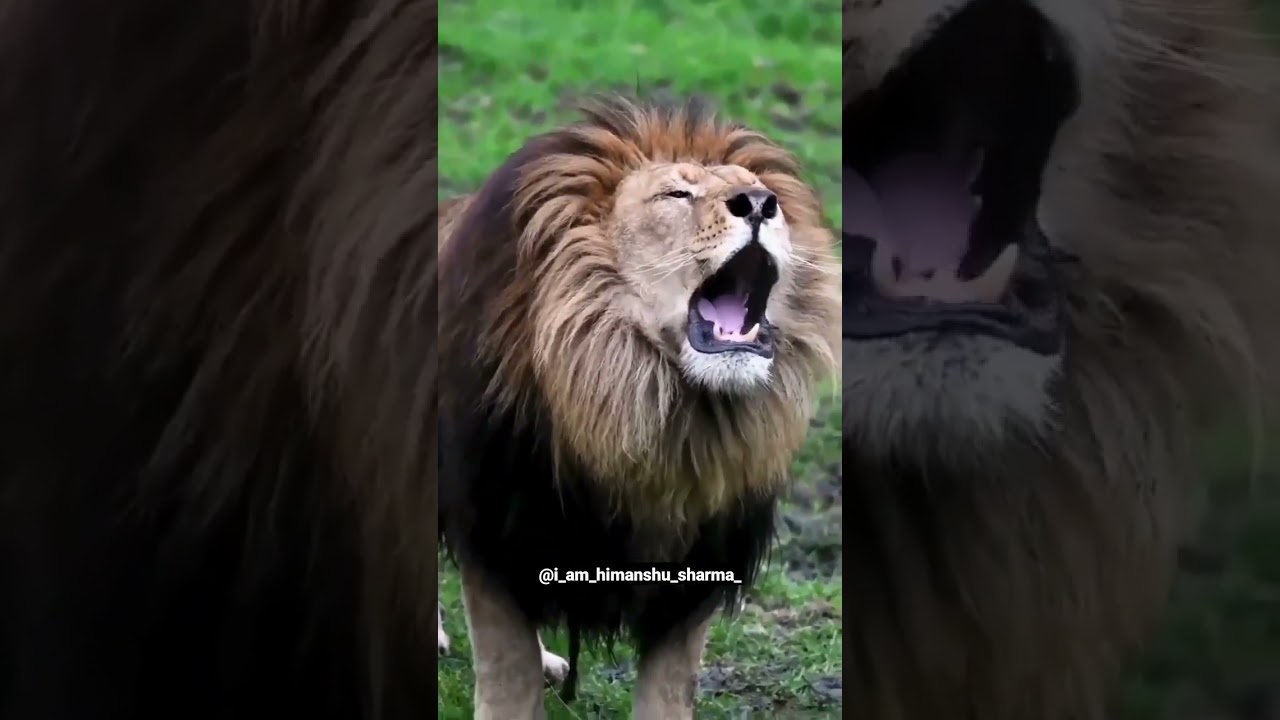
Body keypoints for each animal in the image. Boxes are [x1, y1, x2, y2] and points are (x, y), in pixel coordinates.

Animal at [436, 96, 840, 719]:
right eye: (676, 194)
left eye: (765, 191)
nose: (759, 204)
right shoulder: (495, 539)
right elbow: (507, 681)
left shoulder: (696, 574)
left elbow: (669, 692)